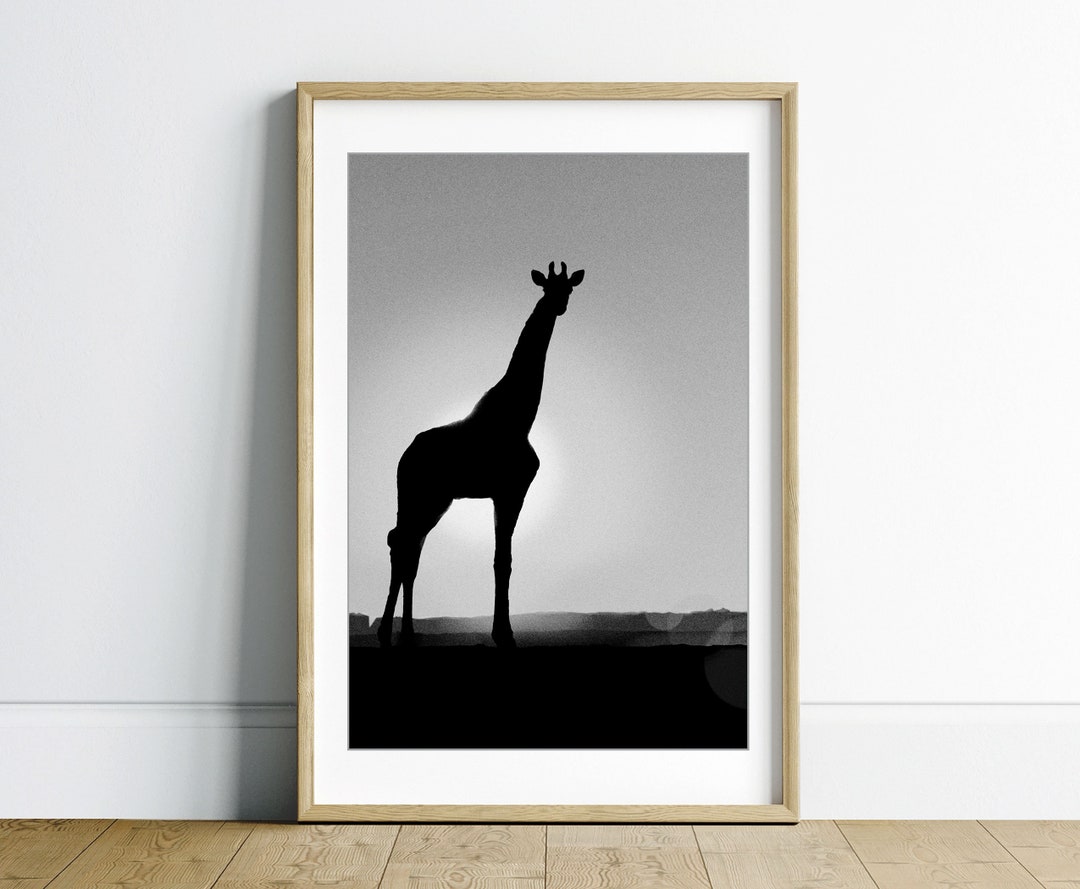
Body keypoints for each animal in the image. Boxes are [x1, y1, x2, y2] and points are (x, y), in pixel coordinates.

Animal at [377, 261, 585, 649]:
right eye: (546, 288)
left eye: (568, 288)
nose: (558, 305)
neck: (519, 417)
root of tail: (404, 456)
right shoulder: (510, 491)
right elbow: (502, 560)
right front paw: (504, 635)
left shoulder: (509, 492)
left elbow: (503, 559)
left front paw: (503, 632)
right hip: (419, 495)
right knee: (402, 544)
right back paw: (388, 634)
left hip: (435, 500)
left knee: (410, 547)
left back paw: (407, 635)